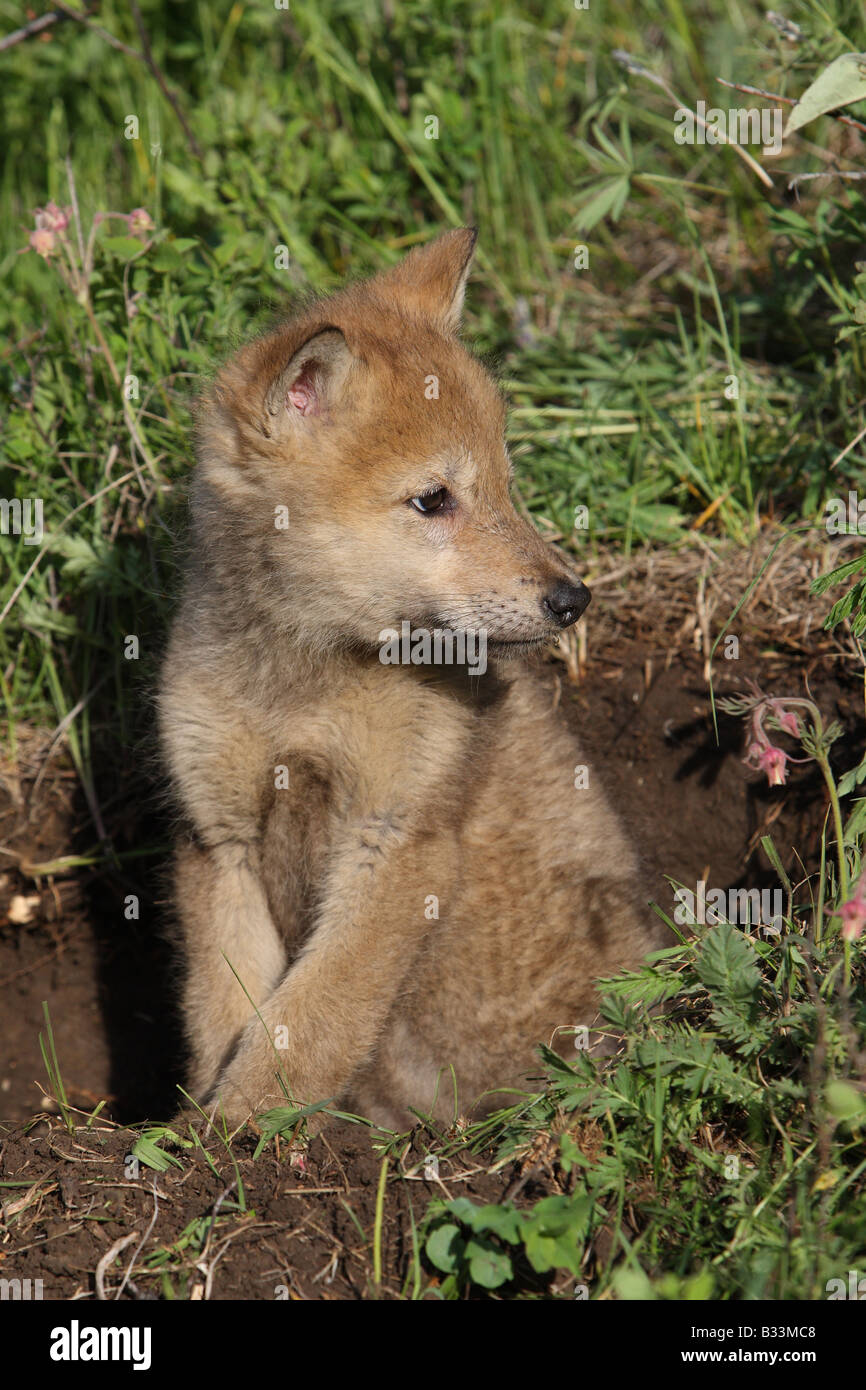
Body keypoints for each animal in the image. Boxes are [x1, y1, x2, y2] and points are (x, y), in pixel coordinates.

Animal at [158, 228, 659, 1130]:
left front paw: (245, 1126)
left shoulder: (397, 840)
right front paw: (209, 1131)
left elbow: (312, 1017)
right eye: (433, 499)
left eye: (505, 483)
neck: (309, 683)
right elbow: (229, 1010)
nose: (573, 598)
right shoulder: (219, 839)